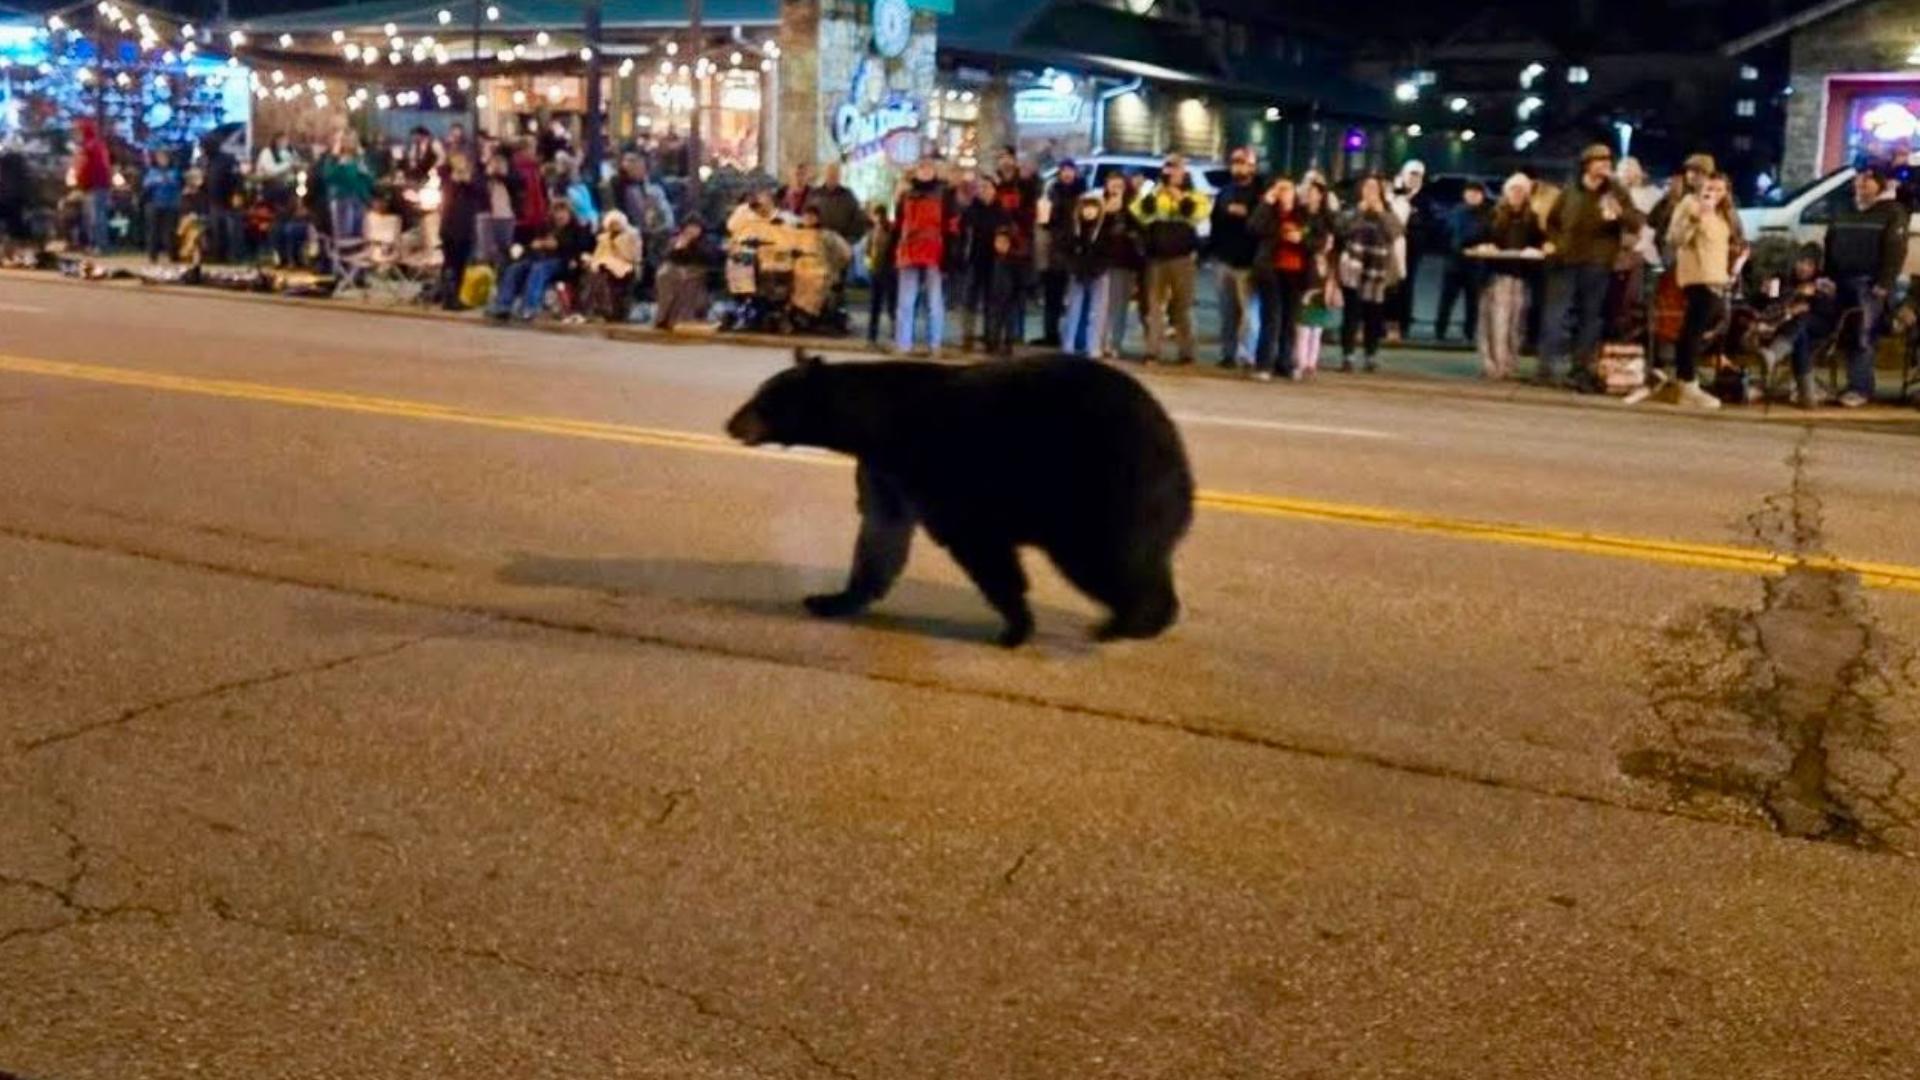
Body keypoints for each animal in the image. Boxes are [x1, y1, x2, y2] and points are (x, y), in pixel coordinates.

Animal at [725, 349, 1194, 647]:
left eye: (763, 399)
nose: (730, 423)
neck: (877, 420)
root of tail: (1176, 450)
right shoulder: (887, 470)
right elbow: (881, 536)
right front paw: (831, 599)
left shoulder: (940, 472)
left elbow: (979, 547)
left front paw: (1015, 628)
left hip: (1100, 490)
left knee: (1106, 560)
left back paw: (1125, 622)